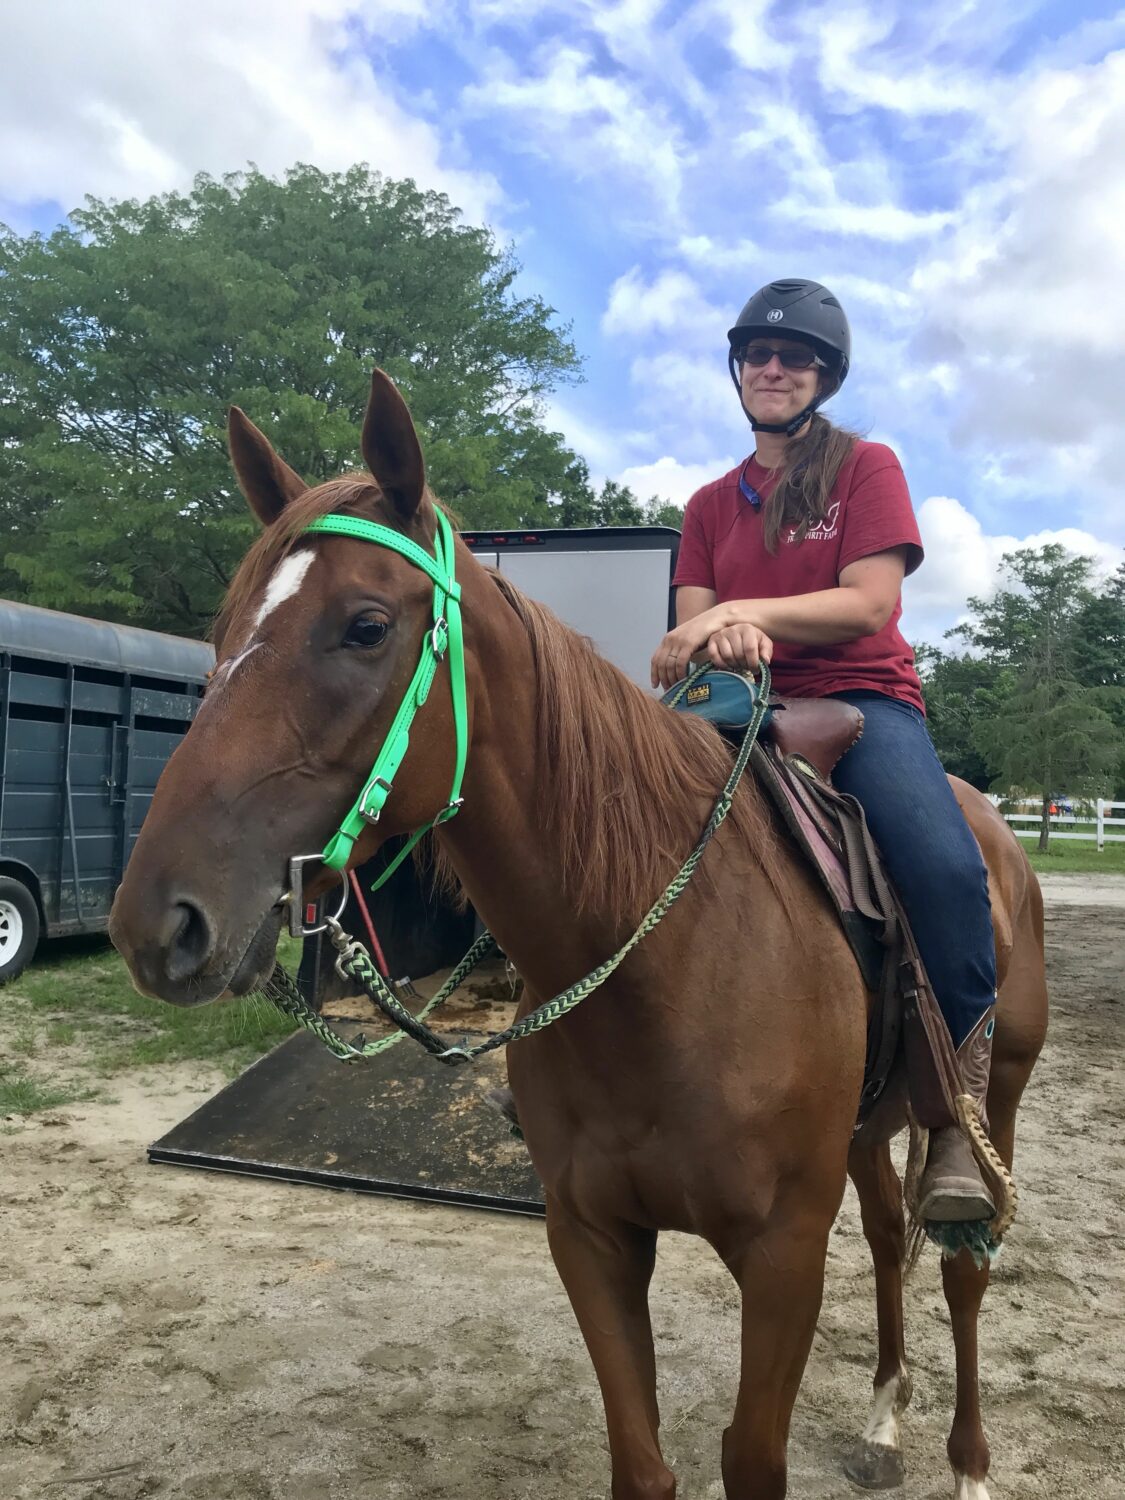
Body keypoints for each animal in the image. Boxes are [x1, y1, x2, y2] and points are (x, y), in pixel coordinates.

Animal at [110, 370, 1048, 1500]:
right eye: (223, 629)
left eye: (365, 627)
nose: (158, 923)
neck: (666, 963)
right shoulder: (592, 1238)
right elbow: (641, 1463)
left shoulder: (781, 1254)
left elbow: (753, 1459)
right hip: (871, 1130)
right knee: (887, 1234)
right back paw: (882, 1424)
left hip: (993, 1096)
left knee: (959, 1260)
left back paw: (968, 1460)